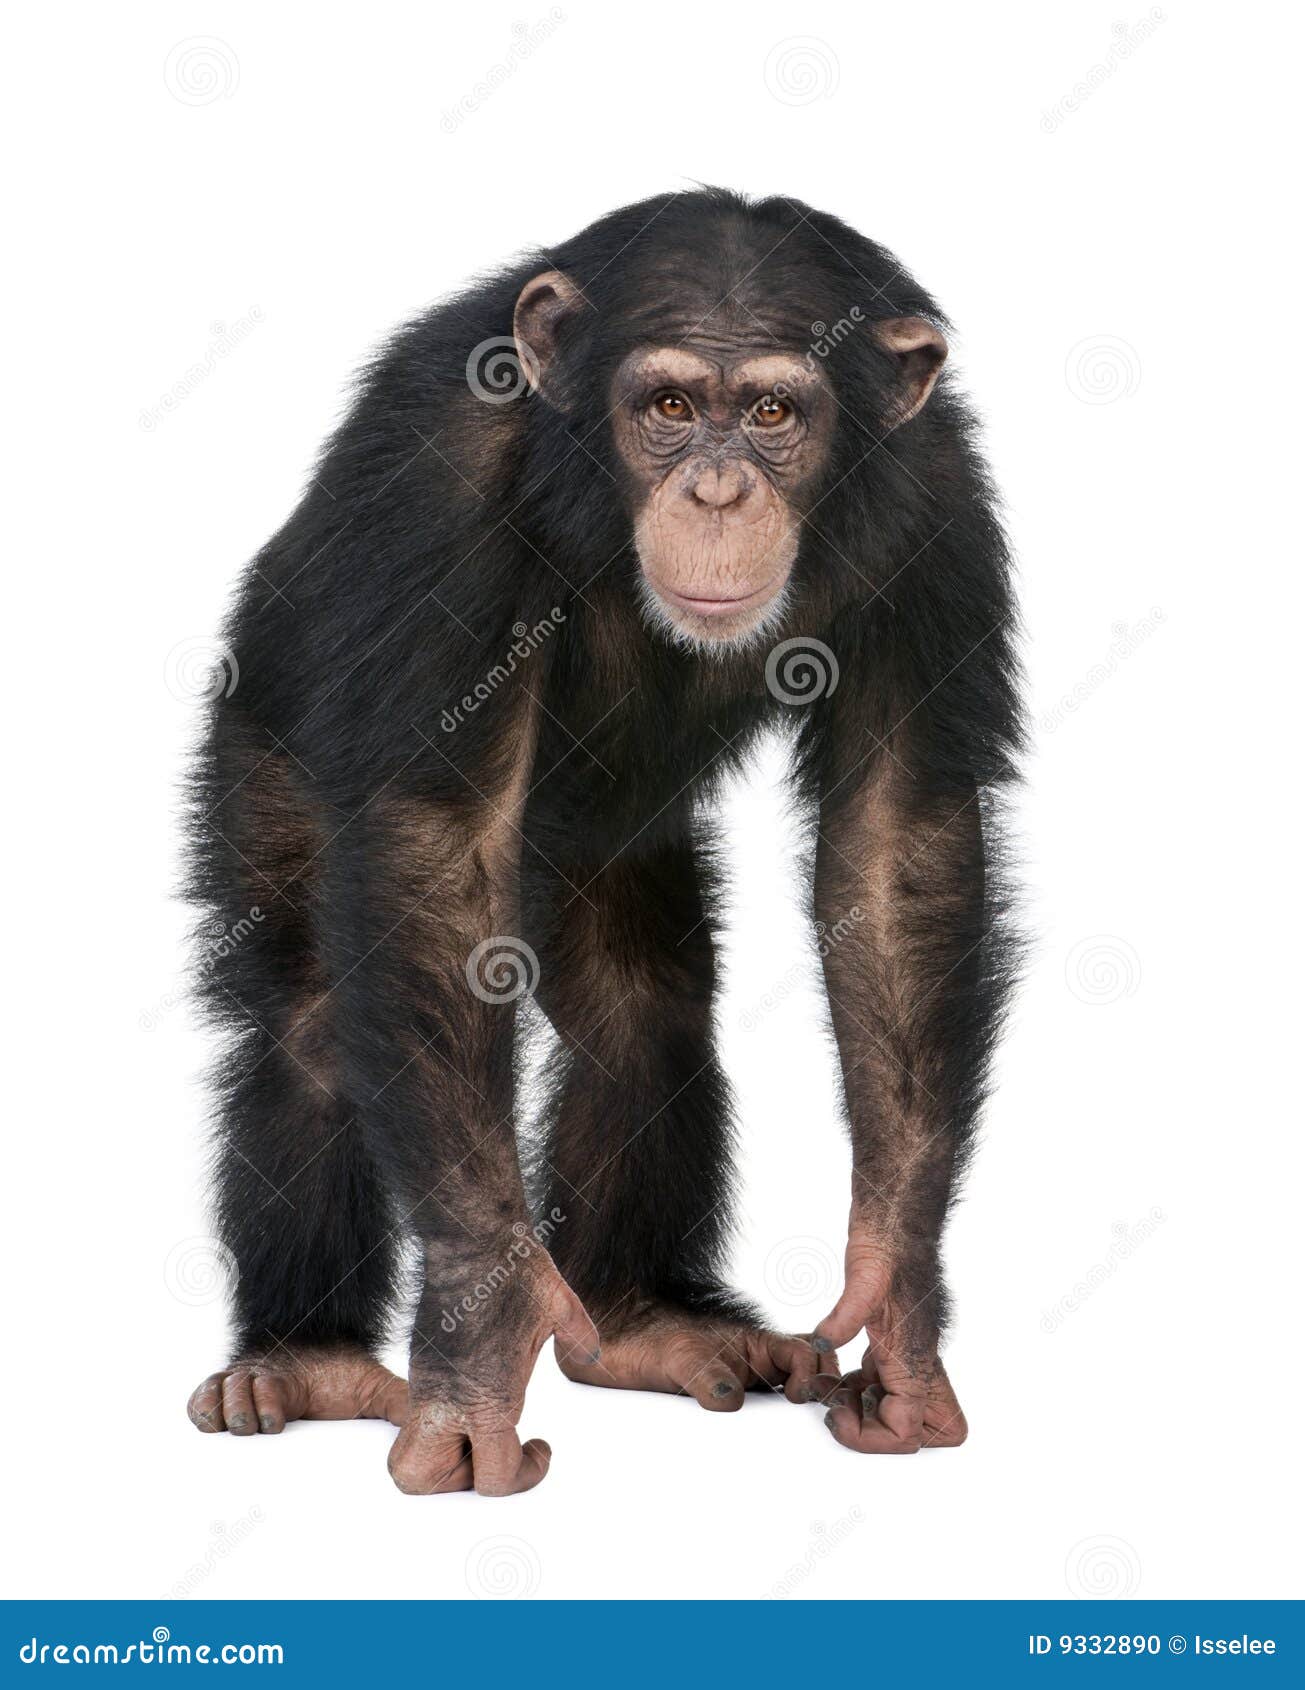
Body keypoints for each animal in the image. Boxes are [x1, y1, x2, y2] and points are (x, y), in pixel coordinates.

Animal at [184, 187, 1022, 1494]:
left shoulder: (939, 509)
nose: (719, 492)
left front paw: (901, 1302)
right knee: (313, 1013)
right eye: (669, 407)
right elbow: (430, 845)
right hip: (260, 739)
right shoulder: (438, 478)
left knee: (643, 1004)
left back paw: (635, 1321)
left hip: (599, 850)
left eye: (773, 412)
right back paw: (305, 1359)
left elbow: (897, 845)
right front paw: (481, 1337)